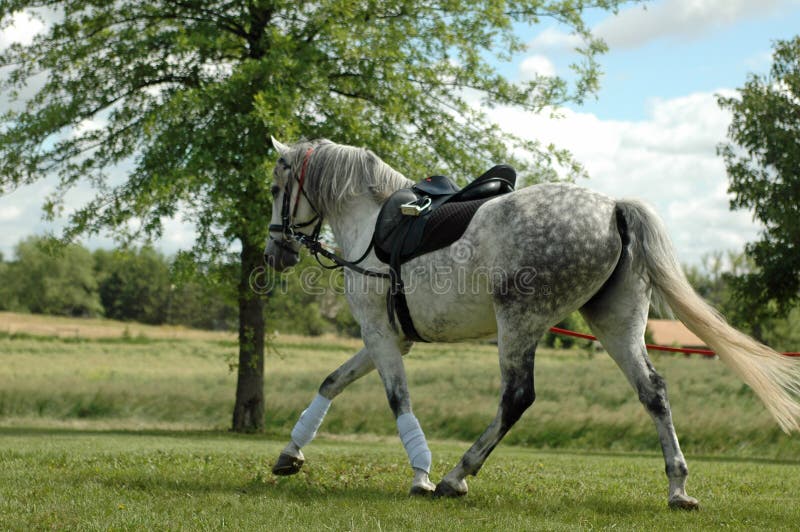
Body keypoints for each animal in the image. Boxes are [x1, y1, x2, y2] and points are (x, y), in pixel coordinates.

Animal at [263, 137, 800, 508]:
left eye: (274, 188)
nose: (275, 253)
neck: (373, 223)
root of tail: (614, 208)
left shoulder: (380, 336)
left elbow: (399, 401)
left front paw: (421, 474)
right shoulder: (389, 339)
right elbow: (331, 382)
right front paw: (291, 453)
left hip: (518, 324)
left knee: (517, 398)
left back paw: (457, 476)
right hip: (615, 325)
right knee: (653, 392)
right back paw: (677, 488)